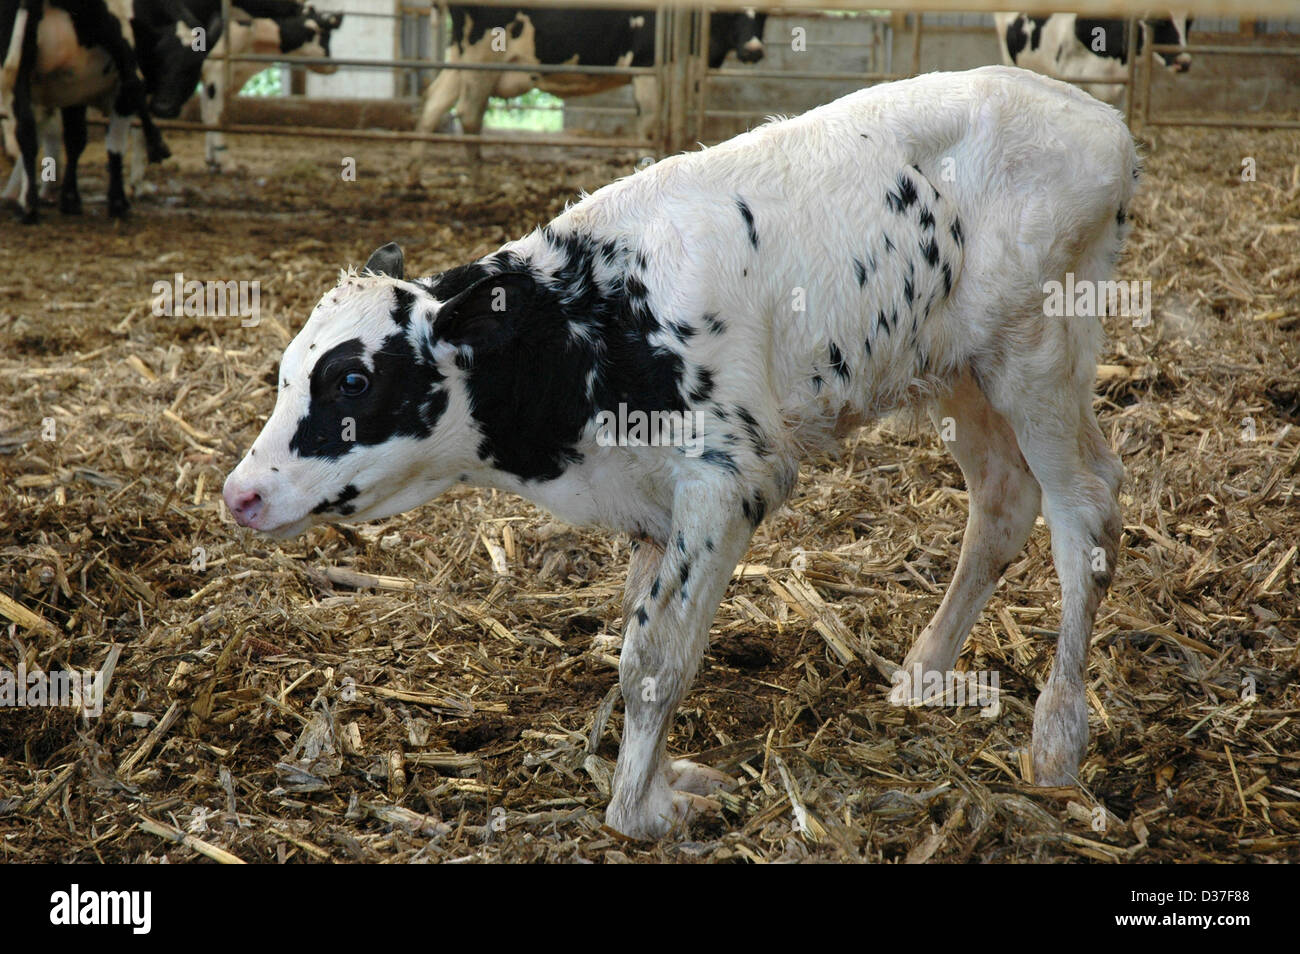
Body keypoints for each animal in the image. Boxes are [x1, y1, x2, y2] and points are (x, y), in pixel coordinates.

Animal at [224, 66, 1135, 839]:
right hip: (961, 371)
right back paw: (924, 673)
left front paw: (640, 813)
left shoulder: (732, 479)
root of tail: (1101, 119)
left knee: (1085, 510)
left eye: (351, 379)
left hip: (1038, 353)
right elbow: (636, 648)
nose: (241, 494)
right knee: (1004, 501)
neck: (596, 318)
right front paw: (657, 781)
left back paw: (1058, 741)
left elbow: (659, 660)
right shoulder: (650, 508)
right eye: (286, 371)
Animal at [408, 6, 767, 182]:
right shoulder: (647, 66)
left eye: (763, 14)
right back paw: (480, 182)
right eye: (732, 14)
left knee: (434, 103)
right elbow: (649, 126)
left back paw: (414, 179)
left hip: (461, 54)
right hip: (481, 55)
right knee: (469, 112)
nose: (754, 50)